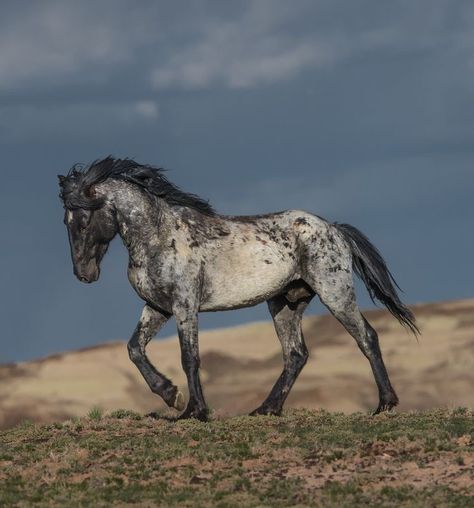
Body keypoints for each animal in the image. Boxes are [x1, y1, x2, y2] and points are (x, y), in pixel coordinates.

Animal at [59, 158, 418, 420]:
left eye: (84, 220)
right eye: (66, 221)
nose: (83, 274)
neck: (158, 238)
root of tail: (334, 229)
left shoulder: (184, 306)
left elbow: (189, 357)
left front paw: (194, 411)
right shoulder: (157, 307)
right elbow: (134, 348)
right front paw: (171, 395)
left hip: (335, 292)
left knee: (366, 337)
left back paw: (385, 404)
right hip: (285, 304)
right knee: (295, 355)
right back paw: (265, 409)